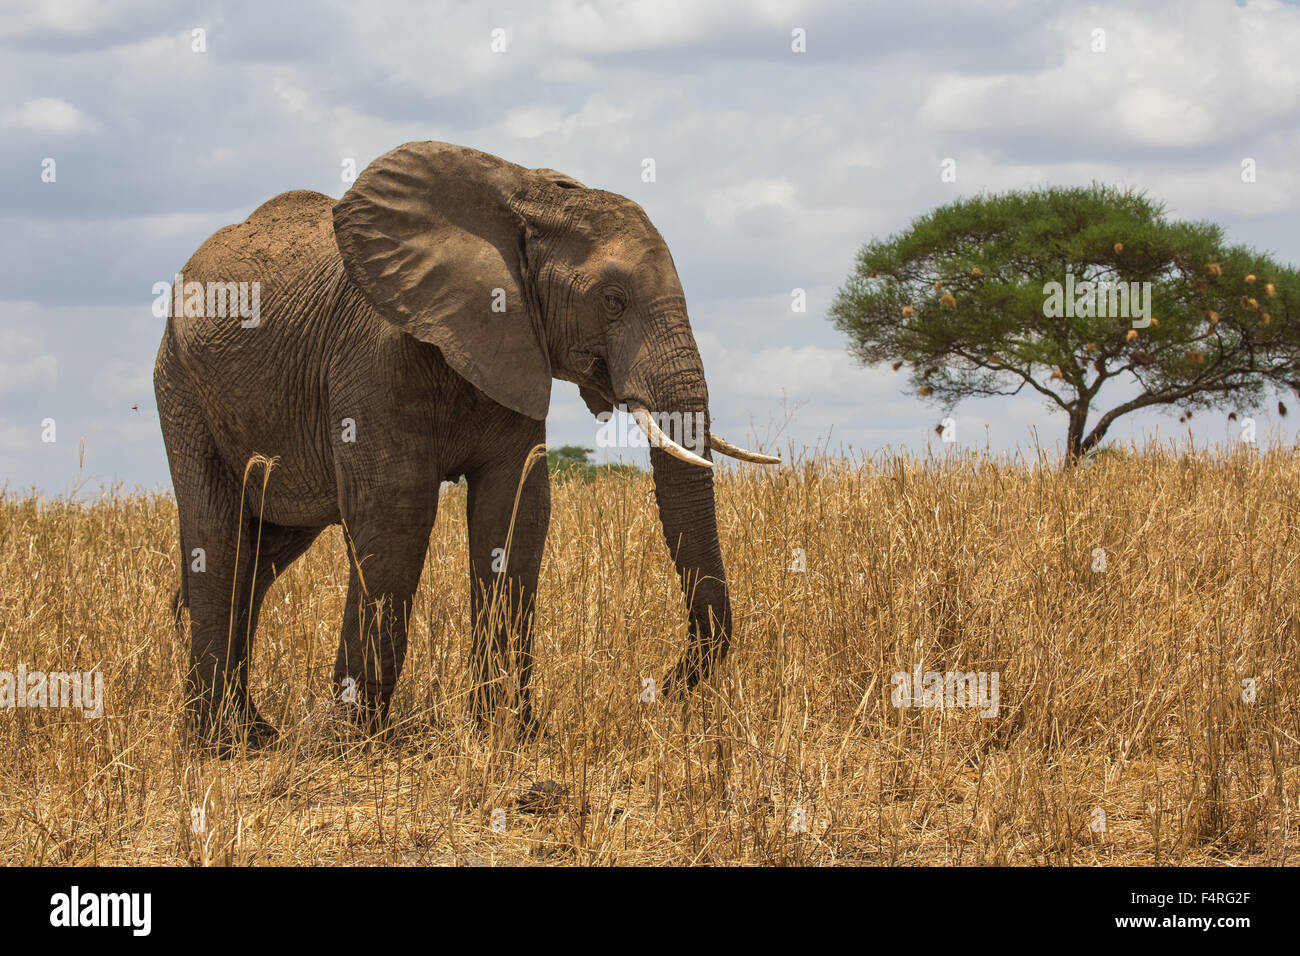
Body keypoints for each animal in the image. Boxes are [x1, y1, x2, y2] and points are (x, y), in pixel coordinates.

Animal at [154, 140, 779, 752]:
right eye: (613, 300)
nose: (663, 689)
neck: (525, 201)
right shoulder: (372, 357)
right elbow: (393, 515)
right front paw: (344, 741)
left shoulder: (515, 351)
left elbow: (516, 511)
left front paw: (509, 734)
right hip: (181, 387)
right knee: (221, 538)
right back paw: (217, 743)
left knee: (261, 554)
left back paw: (252, 733)